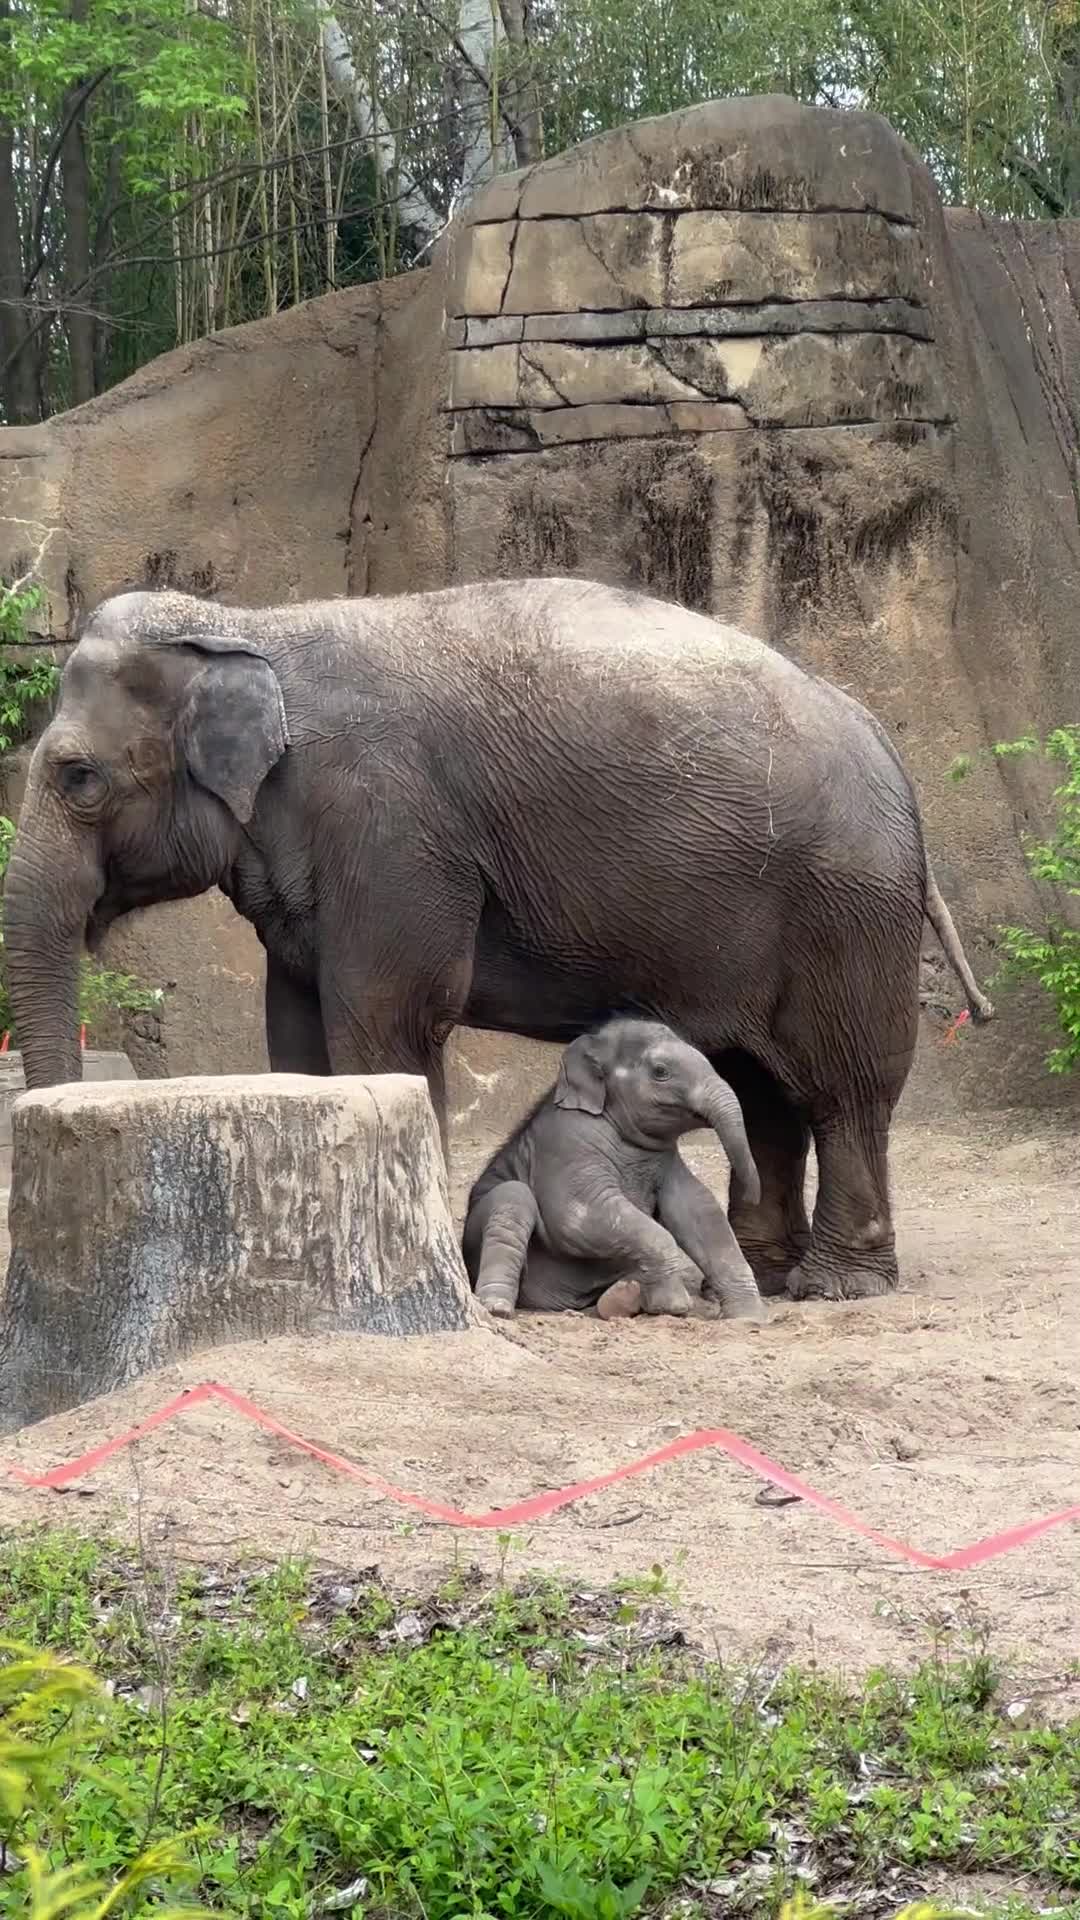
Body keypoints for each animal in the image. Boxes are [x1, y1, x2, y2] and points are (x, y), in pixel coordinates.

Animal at [463, 1017, 765, 1322]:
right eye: (660, 1071)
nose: (753, 1196)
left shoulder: (667, 1160)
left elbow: (699, 1210)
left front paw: (748, 1317)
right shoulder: (565, 1144)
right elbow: (574, 1216)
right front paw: (673, 1306)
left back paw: (622, 1297)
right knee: (512, 1197)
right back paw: (498, 1307)